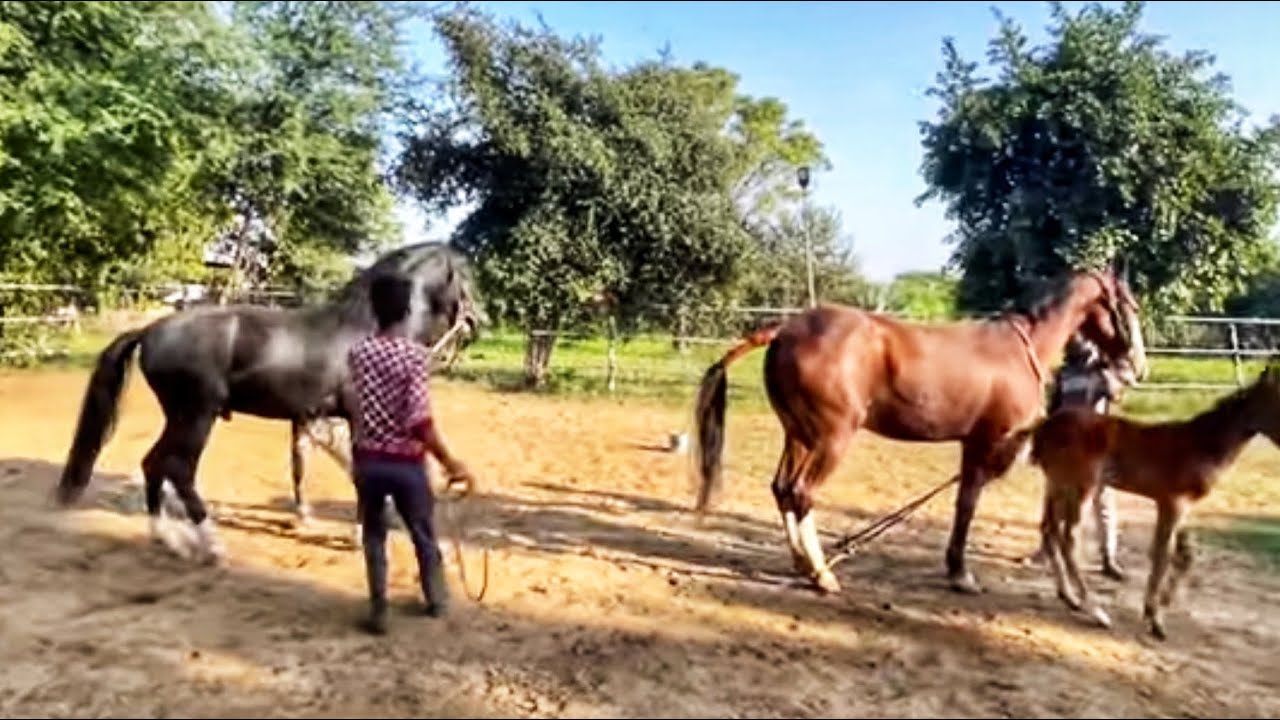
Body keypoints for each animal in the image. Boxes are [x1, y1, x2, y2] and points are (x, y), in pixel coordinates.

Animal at [53, 242, 483, 564]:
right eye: (465, 278)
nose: (480, 321)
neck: (365, 329)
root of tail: (150, 330)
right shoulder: (357, 419)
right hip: (196, 416)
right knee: (177, 469)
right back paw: (210, 545)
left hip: (181, 417)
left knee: (153, 465)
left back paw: (168, 540)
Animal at [690, 266, 1148, 596]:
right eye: (1127, 306)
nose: (1137, 368)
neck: (1023, 347)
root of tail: (786, 329)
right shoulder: (986, 441)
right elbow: (967, 505)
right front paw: (960, 573)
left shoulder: (973, 444)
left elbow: (964, 502)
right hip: (831, 439)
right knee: (801, 493)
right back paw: (822, 575)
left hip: (799, 436)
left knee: (783, 489)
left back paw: (802, 563)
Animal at [1026, 363, 1280, 640]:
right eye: (1278, 403)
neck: (1201, 444)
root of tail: (1046, 426)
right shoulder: (1172, 502)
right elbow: (1162, 554)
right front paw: (1155, 620)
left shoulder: (1182, 507)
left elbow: (1185, 555)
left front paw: (1154, 611)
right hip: (1082, 486)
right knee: (1069, 538)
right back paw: (1097, 613)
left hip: (1057, 485)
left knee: (1049, 529)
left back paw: (1069, 597)